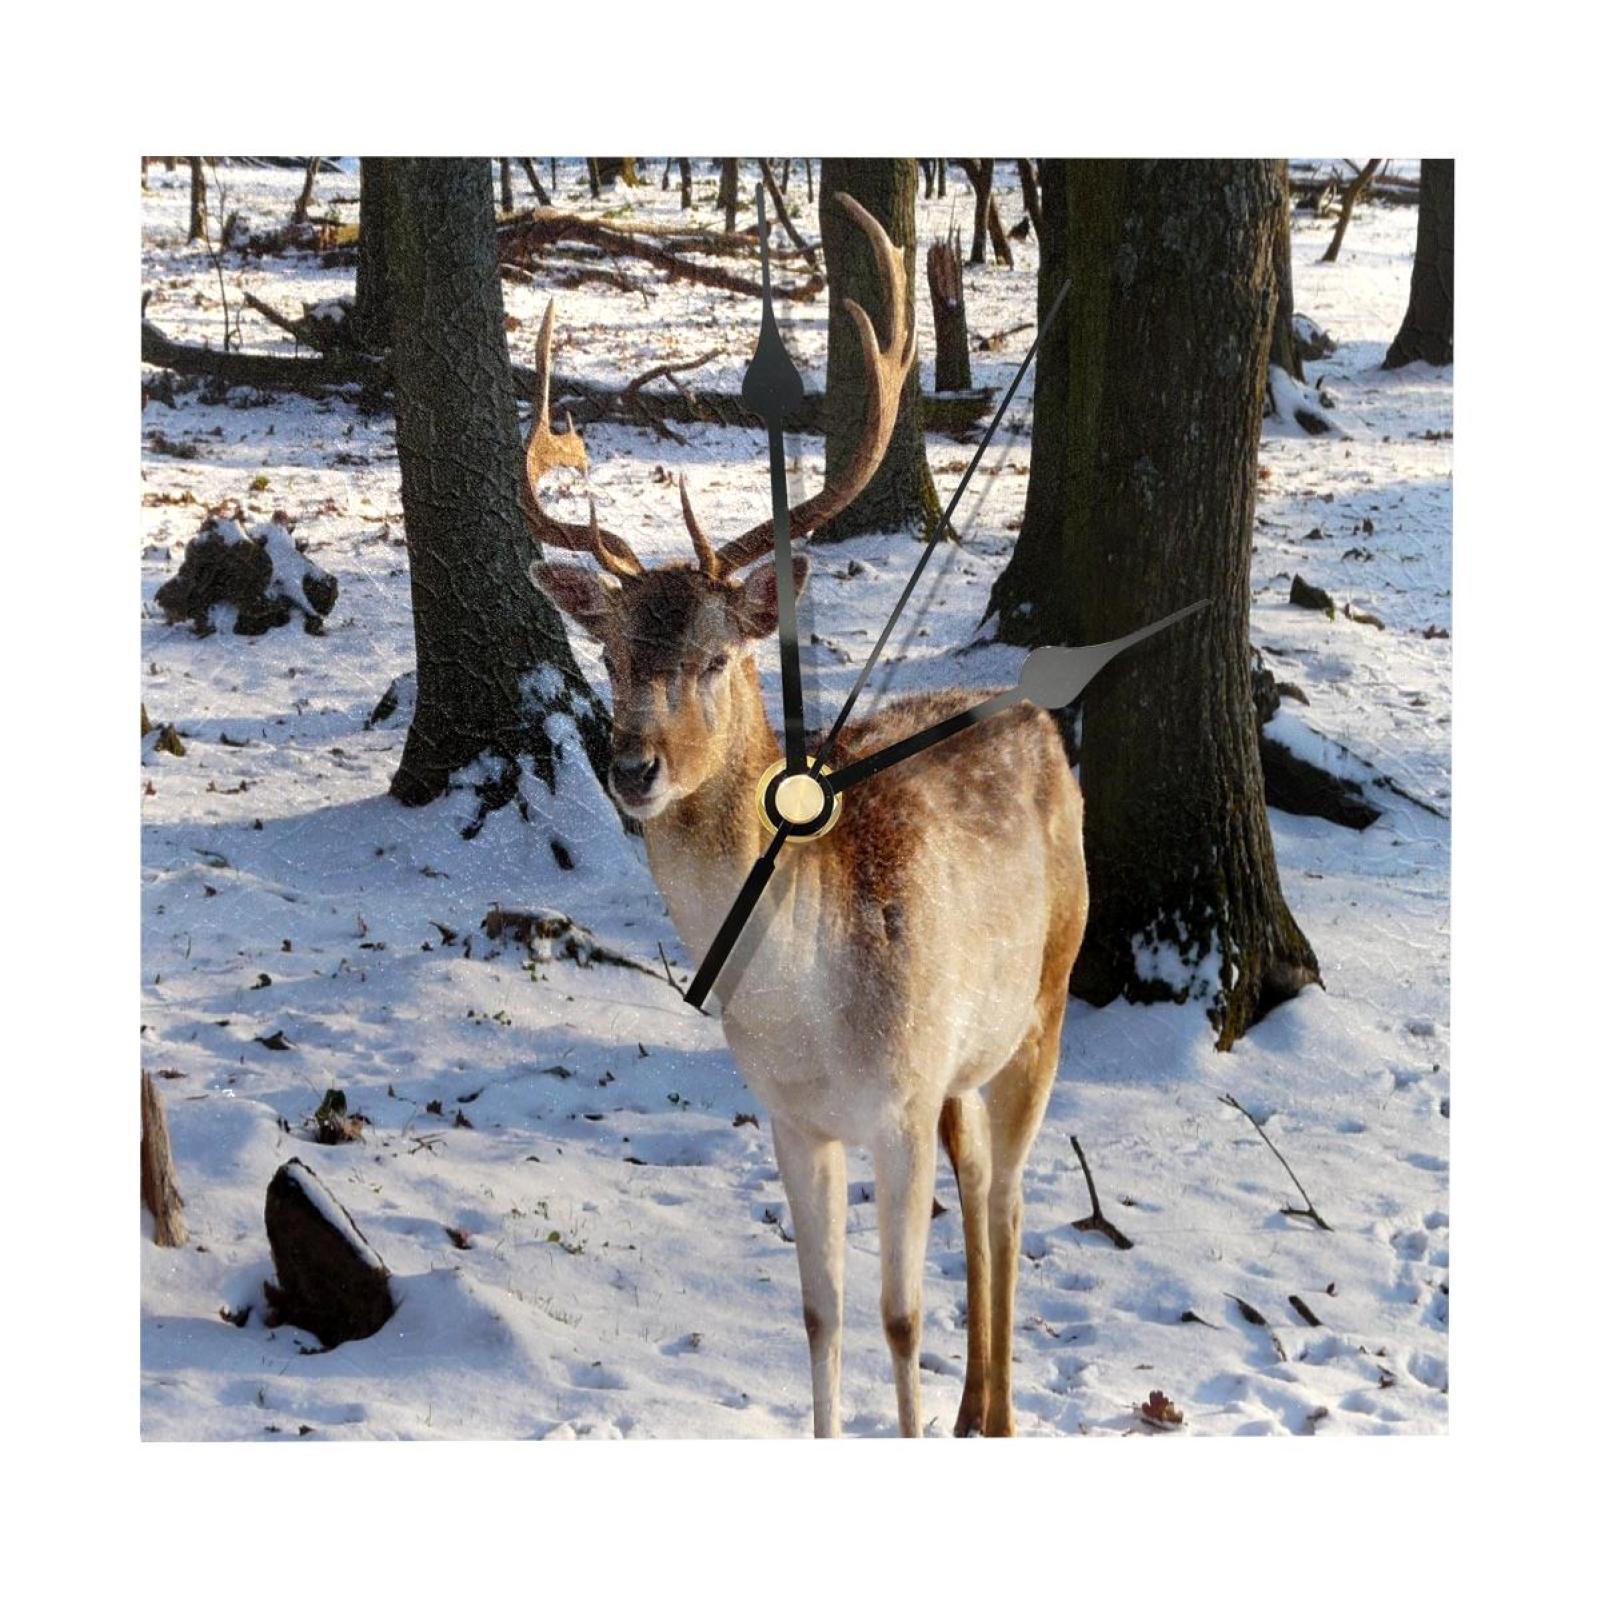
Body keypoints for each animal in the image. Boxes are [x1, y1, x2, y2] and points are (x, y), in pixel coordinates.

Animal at [524, 196, 1087, 1438]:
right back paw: (976, 1405)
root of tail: (1039, 714)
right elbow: (820, 1312)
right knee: (981, 1177)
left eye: (712, 656)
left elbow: (897, 1317)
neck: (806, 1006)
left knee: (1012, 1190)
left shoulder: (898, 1096)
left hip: (1045, 993)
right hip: (965, 1059)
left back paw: (997, 1410)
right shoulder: (789, 1116)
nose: (629, 764)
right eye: (608, 652)